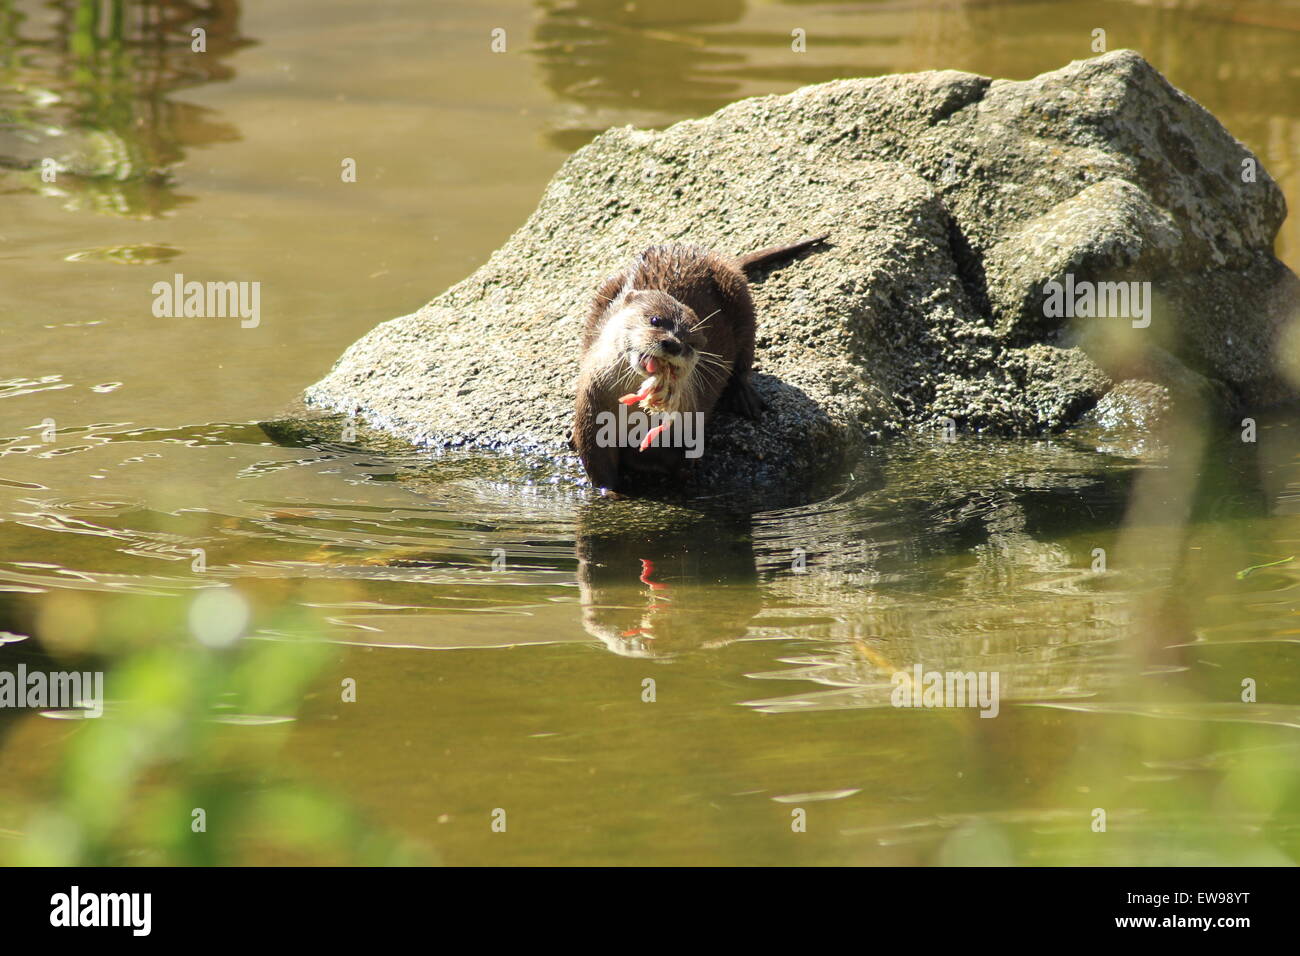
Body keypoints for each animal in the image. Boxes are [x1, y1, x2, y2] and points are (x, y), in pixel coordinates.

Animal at [572, 234, 827, 492]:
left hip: (739, 296)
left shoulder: (686, 421)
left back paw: (743, 395)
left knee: (744, 355)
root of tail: (718, 257)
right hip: (605, 292)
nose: (673, 344)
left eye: (691, 343)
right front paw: (609, 493)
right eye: (655, 319)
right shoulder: (591, 408)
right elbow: (597, 462)